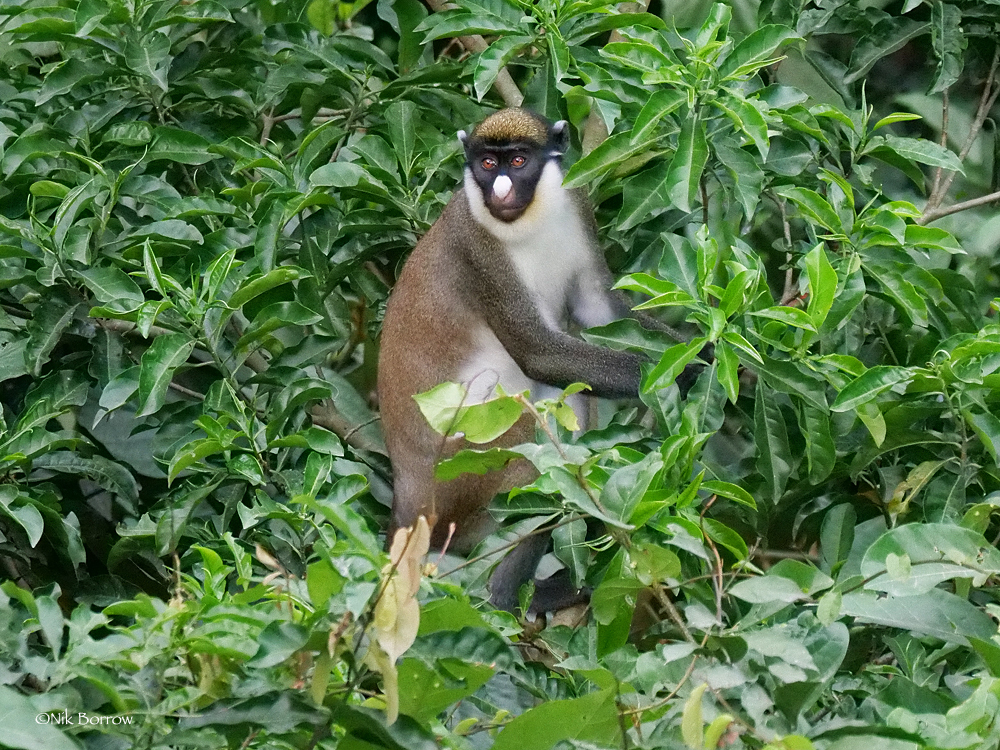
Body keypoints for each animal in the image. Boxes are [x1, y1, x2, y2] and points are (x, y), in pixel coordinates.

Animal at [377, 108, 687, 613]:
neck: (529, 223)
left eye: (519, 160)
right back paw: (508, 596)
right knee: (532, 445)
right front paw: (695, 371)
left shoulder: (577, 204)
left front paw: (714, 352)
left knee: (571, 403)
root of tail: (408, 496)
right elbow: (538, 350)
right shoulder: (477, 249)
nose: (500, 188)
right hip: (458, 470)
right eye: (487, 163)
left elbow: (601, 311)